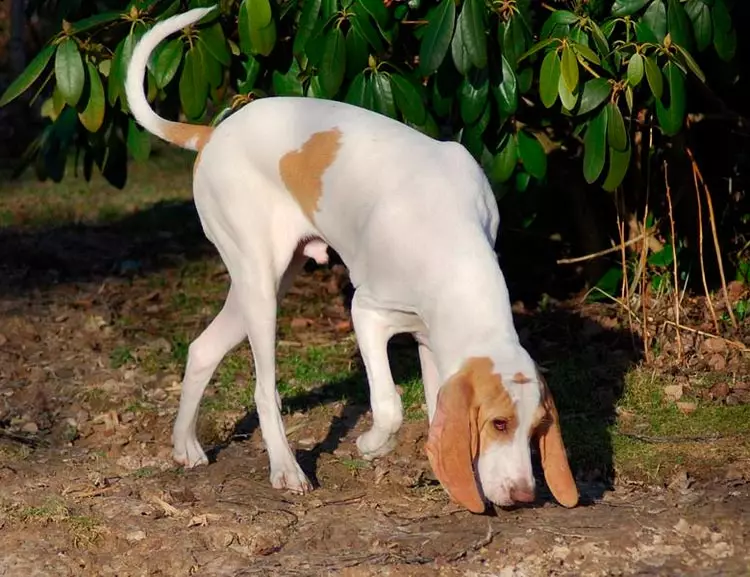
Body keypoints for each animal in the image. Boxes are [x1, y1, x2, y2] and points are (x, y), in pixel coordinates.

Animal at [126, 5, 580, 512]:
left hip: (264, 284)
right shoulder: (367, 313)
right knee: (264, 389)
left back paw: (185, 446)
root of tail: (213, 133)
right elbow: (390, 406)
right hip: (261, 289)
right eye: (499, 424)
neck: (452, 241)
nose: (524, 495)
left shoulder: (430, 339)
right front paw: (371, 445)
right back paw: (285, 469)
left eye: (537, 429)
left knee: (202, 349)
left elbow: (434, 410)